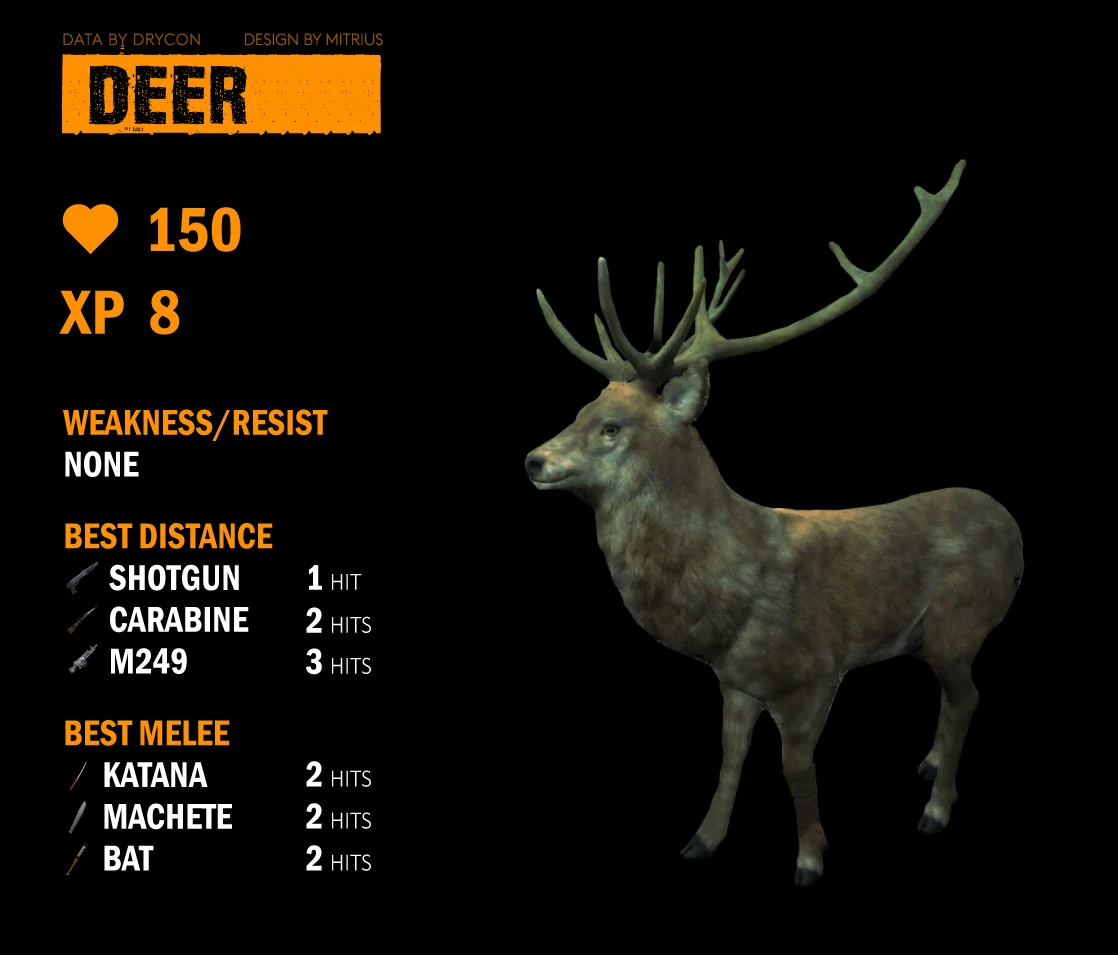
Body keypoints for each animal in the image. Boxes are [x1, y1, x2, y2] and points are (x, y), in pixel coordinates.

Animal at [524, 160, 1023, 887]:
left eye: (611, 427)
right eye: (580, 408)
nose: (533, 459)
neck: (727, 593)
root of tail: (1014, 527)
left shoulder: (812, 671)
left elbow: (794, 766)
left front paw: (811, 858)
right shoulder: (735, 679)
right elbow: (730, 757)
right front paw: (702, 839)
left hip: (961, 622)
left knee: (969, 696)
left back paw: (935, 809)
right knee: (955, 696)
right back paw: (928, 767)